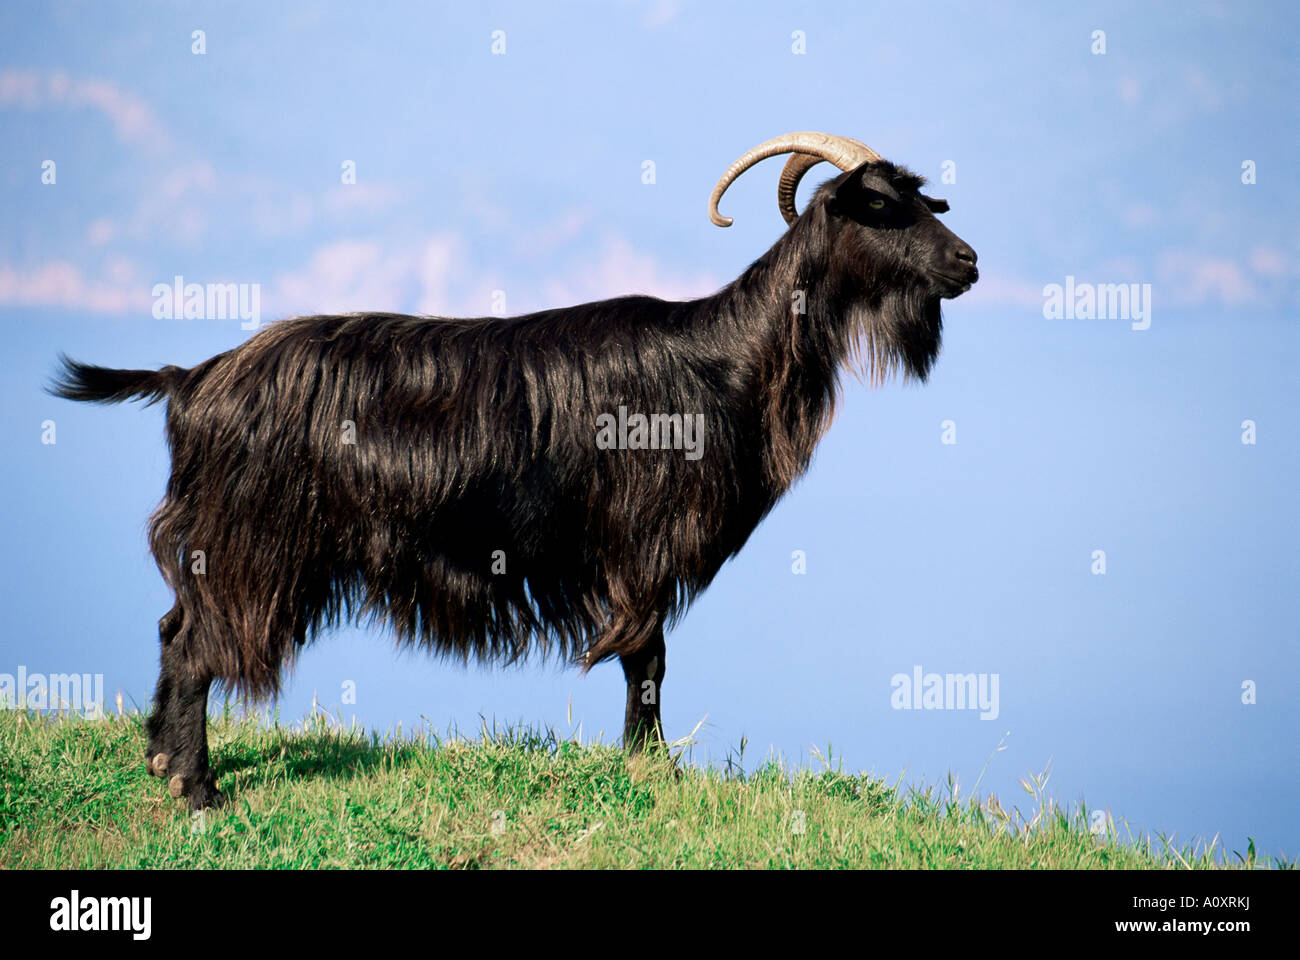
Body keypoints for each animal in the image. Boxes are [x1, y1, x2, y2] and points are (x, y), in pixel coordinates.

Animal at [51, 132, 978, 808]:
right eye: (882, 208)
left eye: (923, 199)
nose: (969, 262)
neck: (720, 359)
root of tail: (193, 377)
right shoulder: (637, 547)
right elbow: (648, 659)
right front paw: (653, 770)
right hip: (251, 540)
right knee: (197, 643)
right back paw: (198, 789)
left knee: (173, 627)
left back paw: (161, 764)